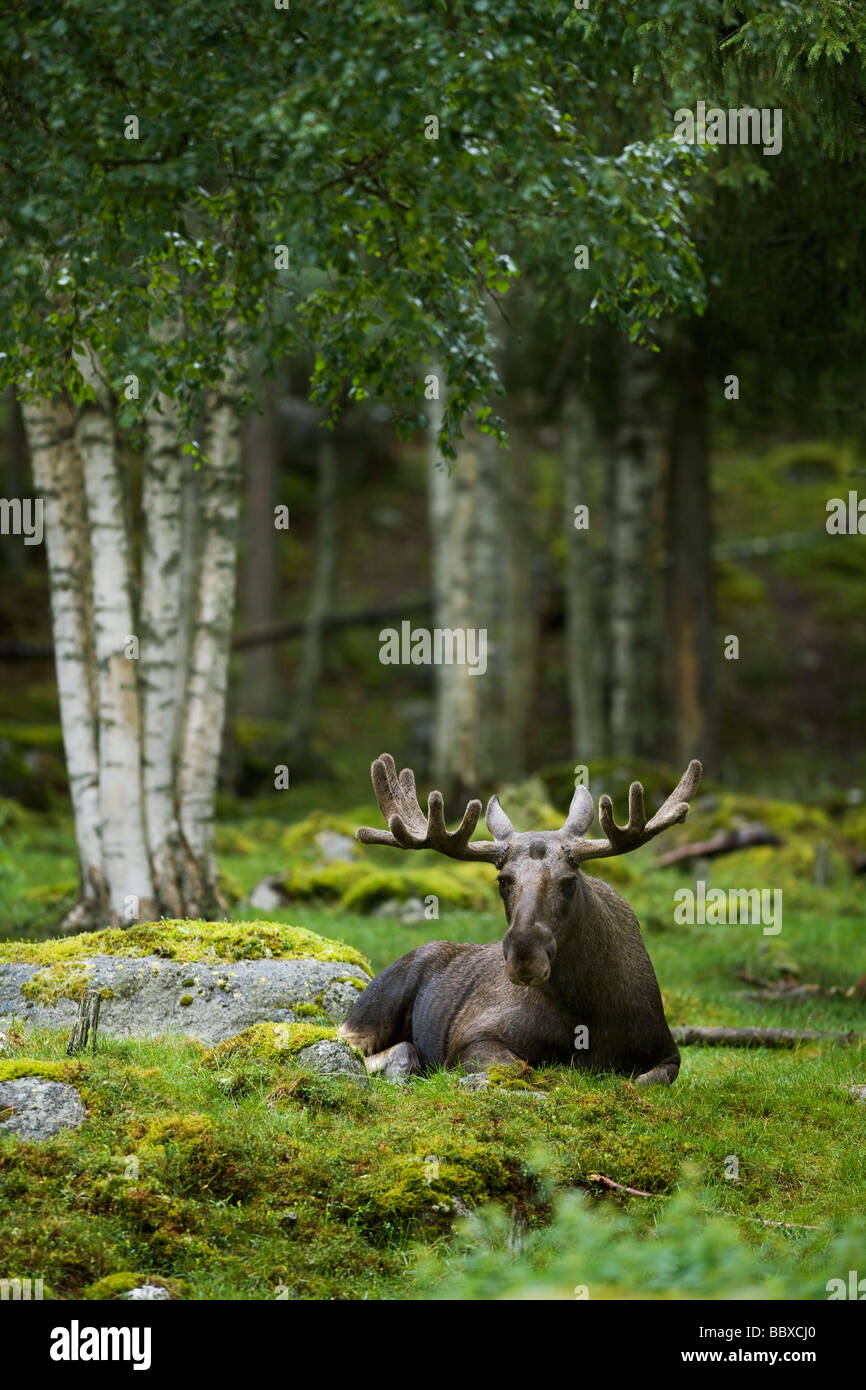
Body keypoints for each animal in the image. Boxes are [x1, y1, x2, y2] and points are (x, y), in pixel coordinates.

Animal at [340, 753, 702, 1086]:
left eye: (569, 881)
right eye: (503, 880)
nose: (525, 955)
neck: (590, 1016)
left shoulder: (668, 1051)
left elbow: (644, 1080)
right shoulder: (472, 1035)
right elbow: (522, 1068)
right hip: (373, 1008)